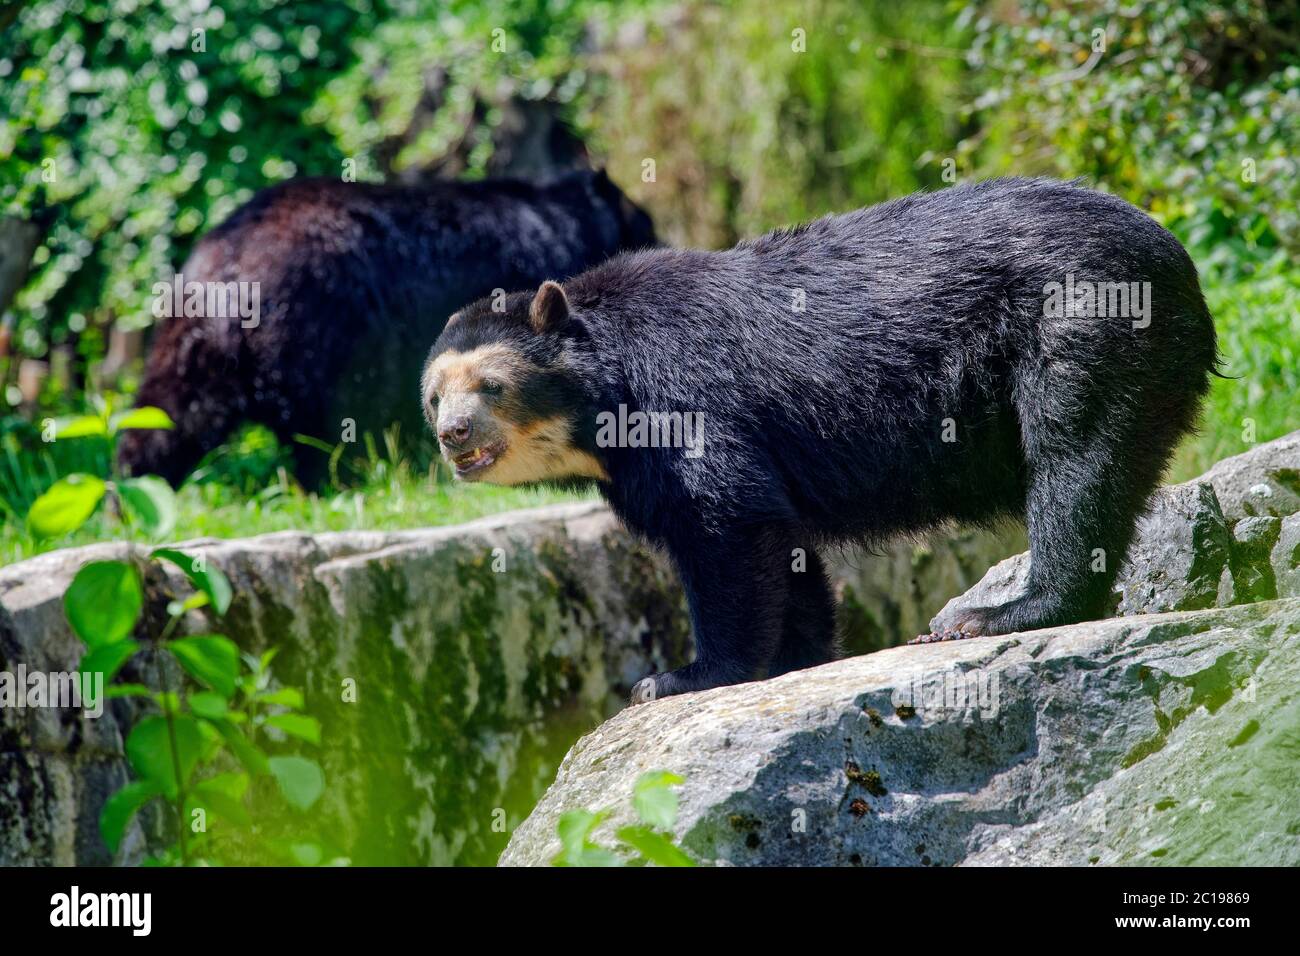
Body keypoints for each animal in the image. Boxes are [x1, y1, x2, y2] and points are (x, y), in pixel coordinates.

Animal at [118, 169, 655, 487]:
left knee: (168, 413)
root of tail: (231, 271)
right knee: (325, 427)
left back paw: (131, 486)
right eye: (645, 222)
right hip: (322, 333)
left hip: (190, 337)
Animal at [419, 178, 1219, 703]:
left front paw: (679, 677)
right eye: (433, 397)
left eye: (491, 385)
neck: (602, 404)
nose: (454, 436)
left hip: (1081, 328)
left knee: (1073, 457)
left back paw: (992, 614)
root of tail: (1175, 256)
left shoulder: (680, 402)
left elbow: (727, 524)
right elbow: (781, 546)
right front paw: (796, 659)